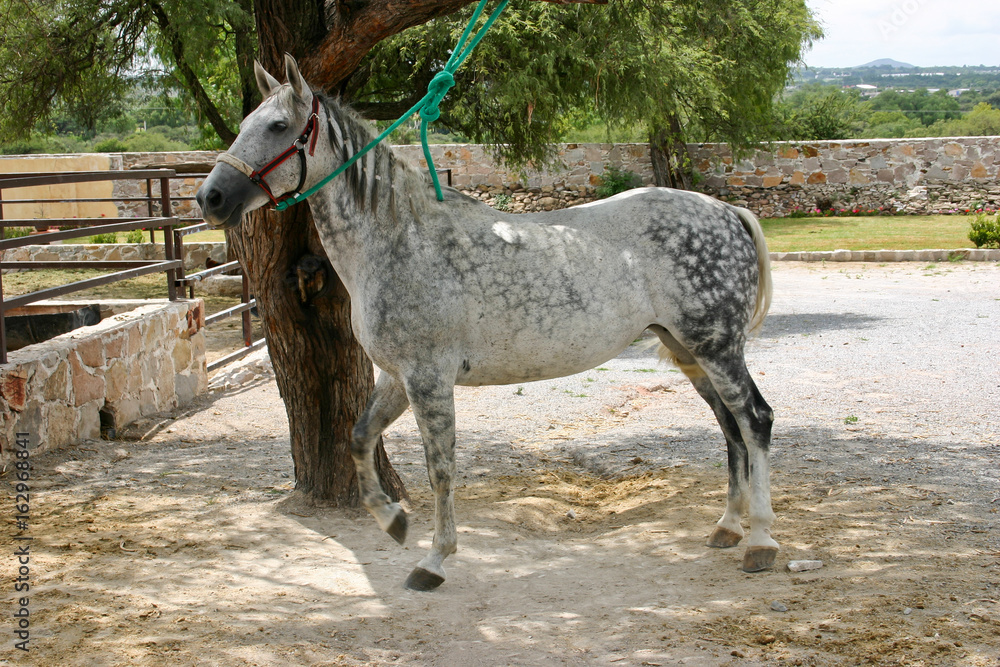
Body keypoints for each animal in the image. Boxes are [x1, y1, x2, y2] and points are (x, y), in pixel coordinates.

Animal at [197, 55, 779, 591]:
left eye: (278, 126)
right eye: (246, 121)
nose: (210, 197)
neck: (397, 239)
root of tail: (726, 211)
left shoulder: (429, 379)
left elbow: (440, 468)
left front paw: (434, 560)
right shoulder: (397, 376)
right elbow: (359, 438)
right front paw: (393, 521)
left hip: (716, 347)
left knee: (755, 420)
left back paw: (760, 541)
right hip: (688, 351)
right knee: (729, 427)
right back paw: (727, 528)